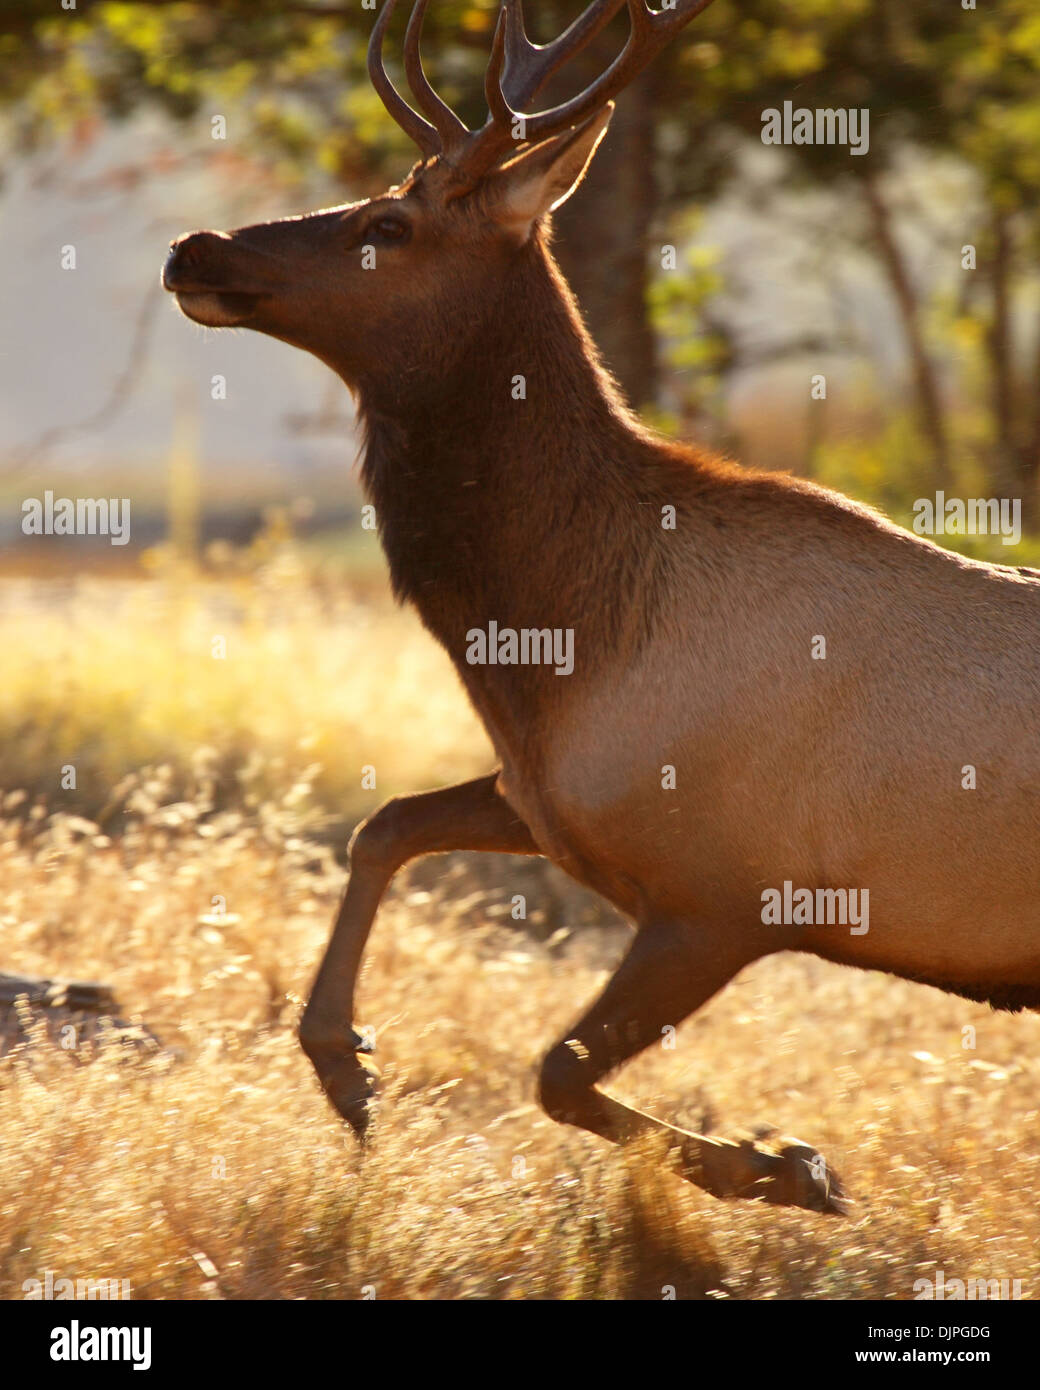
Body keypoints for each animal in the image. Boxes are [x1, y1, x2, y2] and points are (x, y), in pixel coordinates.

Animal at [162, 0, 1040, 1216]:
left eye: (386, 221)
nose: (194, 248)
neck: (570, 647)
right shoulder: (547, 804)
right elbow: (386, 824)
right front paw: (346, 1068)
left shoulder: (728, 892)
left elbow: (557, 1074)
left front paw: (793, 1165)